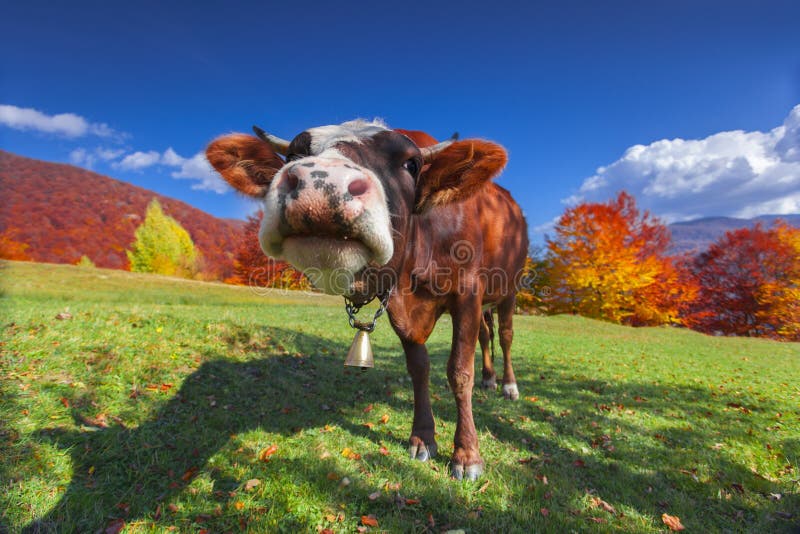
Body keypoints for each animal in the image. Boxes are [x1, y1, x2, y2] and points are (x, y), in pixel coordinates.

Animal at [206, 120, 528, 480]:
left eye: (411, 164)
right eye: (292, 155)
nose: (324, 183)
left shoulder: (468, 293)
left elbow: (459, 371)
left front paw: (467, 454)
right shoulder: (401, 308)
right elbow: (419, 368)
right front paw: (423, 437)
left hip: (508, 288)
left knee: (505, 336)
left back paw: (508, 385)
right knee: (486, 336)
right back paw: (489, 378)